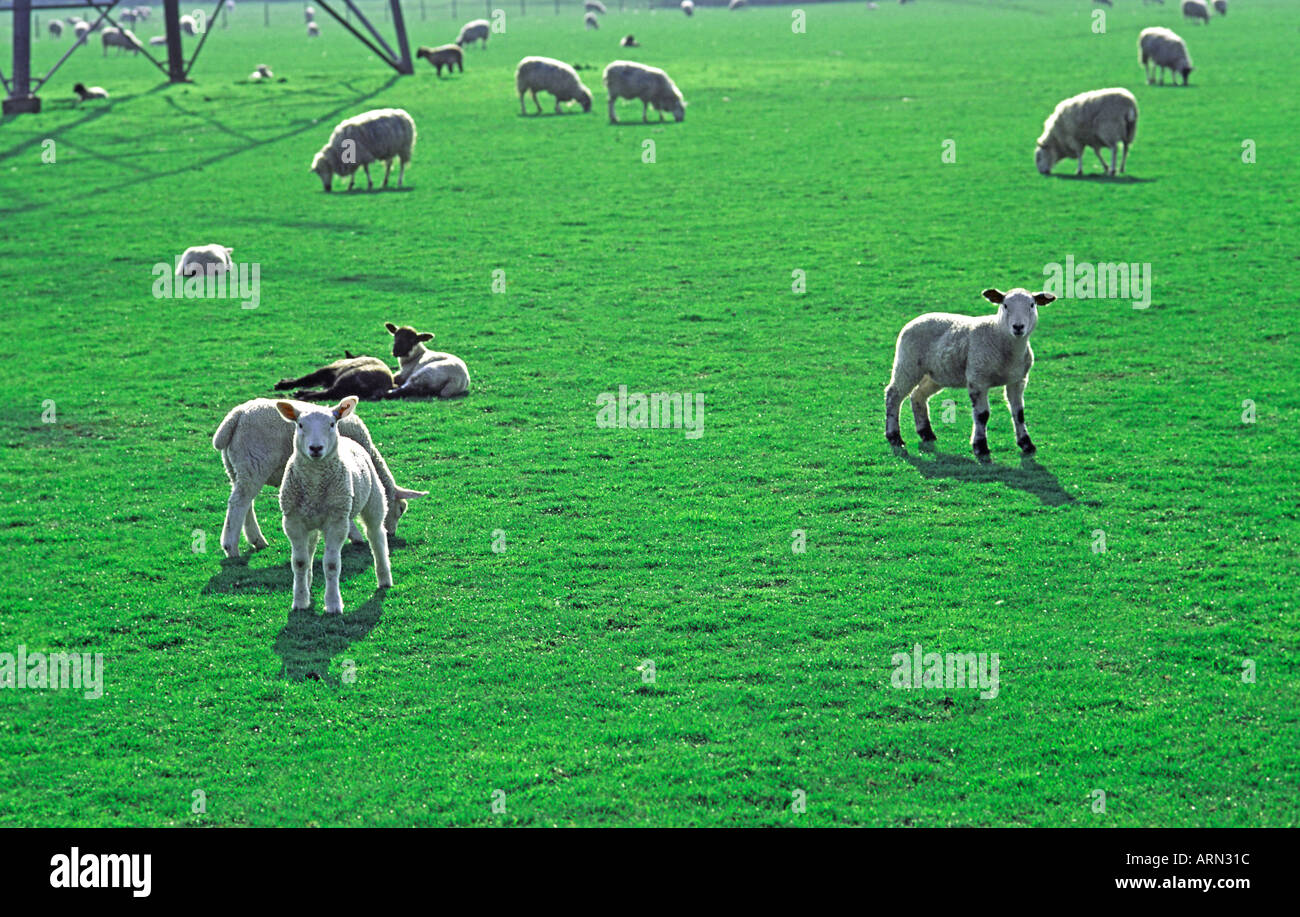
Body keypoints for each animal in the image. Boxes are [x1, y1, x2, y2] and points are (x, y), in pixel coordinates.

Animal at [213, 398, 426, 559]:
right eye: (401, 509)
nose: (391, 533)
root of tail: (235, 417)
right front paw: (355, 536)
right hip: (255, 463)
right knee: (238, 503)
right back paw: (231, 548)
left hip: (237, 467)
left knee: (246, 502)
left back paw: (257, 540)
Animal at [275, 398, 392, 615]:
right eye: (300, 425)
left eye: (331, 424)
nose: (315, 448)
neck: (314, 483)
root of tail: (347, 438)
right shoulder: (293, 520)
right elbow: (300, 562)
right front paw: (300, 601)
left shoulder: (337, 521)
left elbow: (331, 565)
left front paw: (333, 604)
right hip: (311, 520)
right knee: (310, 548)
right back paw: (308, 582)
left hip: (374, 499)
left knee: (377, 536)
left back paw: (384, 578)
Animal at [884, 288, 1057, 458]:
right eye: (1005, 305)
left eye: (1032, 305)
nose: (1018, 327)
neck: (999, 335)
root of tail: (915, 320)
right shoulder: (977, 378)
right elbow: (982, 415)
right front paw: (980, 447)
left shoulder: (1018, 380)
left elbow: (1019, 413)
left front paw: (1026, 444)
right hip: (907, 363)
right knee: (894, 395)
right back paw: (894, 437)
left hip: (935, 373)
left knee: (918, 395)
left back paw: (926, 433)